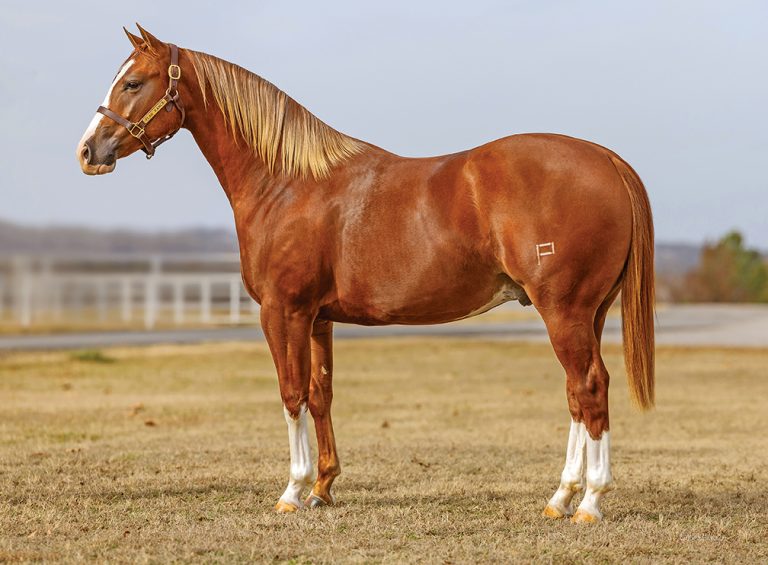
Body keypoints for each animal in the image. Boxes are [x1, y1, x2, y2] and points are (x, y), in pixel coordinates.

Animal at [77, 25, 654, 523]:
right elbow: (320, 393)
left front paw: (292, 491)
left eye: (133, 82)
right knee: (578, 393)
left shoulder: (282, 311)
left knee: (590, 387)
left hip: (564, 311)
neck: (287, 182)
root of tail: (605, 159)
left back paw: (589, 502)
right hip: (587, 313)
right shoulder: (317, 317)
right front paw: (323, 487)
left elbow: (291, 393)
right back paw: (561, 497)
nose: (88, 151)